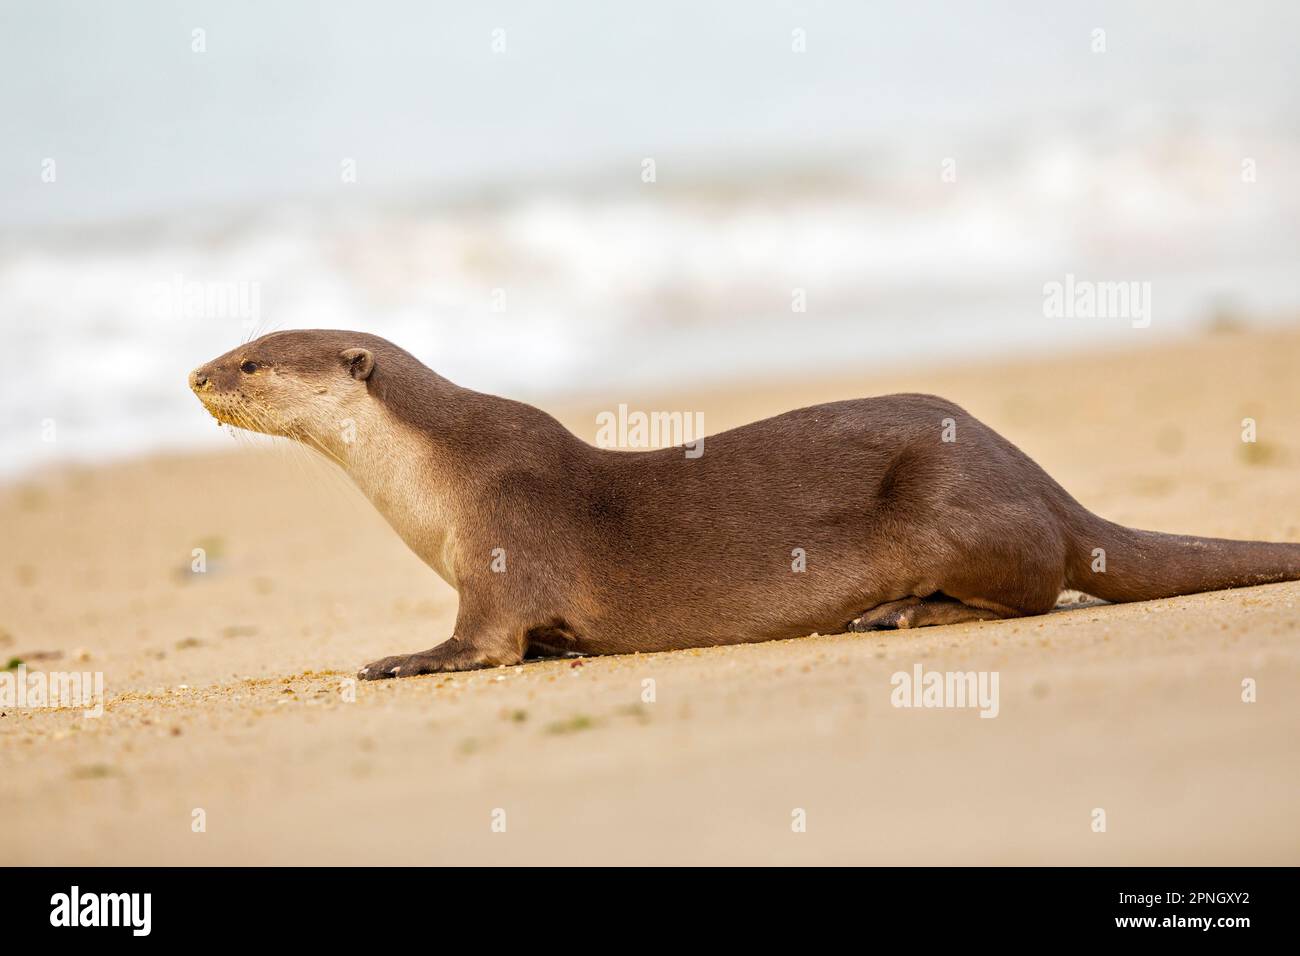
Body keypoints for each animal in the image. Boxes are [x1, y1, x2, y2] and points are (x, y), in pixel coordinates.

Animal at [188, 330, 1300, 679]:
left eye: (253, 362)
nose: (197, 373)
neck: (438, 481)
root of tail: (1042, 481)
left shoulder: (502, 545)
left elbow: (484, 642)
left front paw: (401, 657)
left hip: (957, 510)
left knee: (1034, 586)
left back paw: (899, 610)